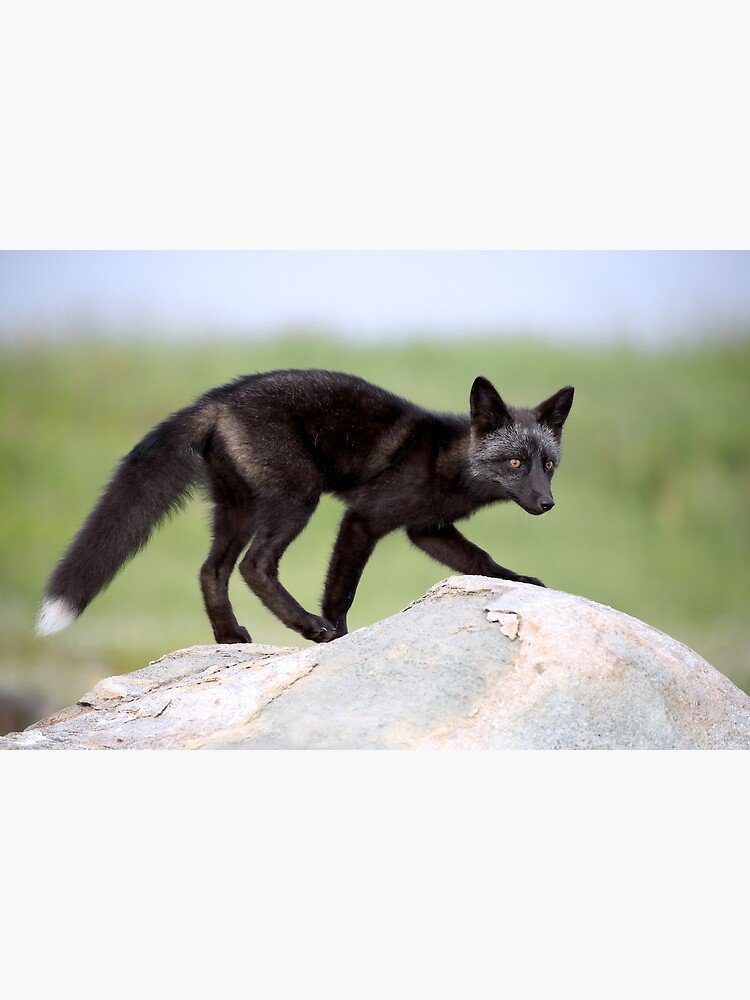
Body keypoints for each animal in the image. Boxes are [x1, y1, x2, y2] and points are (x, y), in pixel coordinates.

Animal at [37, 369, 574, 645]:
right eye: (514, 461)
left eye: (548, 464)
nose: (547, 504)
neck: (448, 462)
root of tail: (218, 398)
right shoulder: (364, 519)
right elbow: (342, 593)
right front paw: (339, 636)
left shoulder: (428, 529)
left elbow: (480, 560)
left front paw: (522, 581)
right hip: (299, 495)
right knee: (254, 566)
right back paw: (307, 628)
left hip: (238, 509)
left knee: (213, 570)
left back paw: (230, 637)